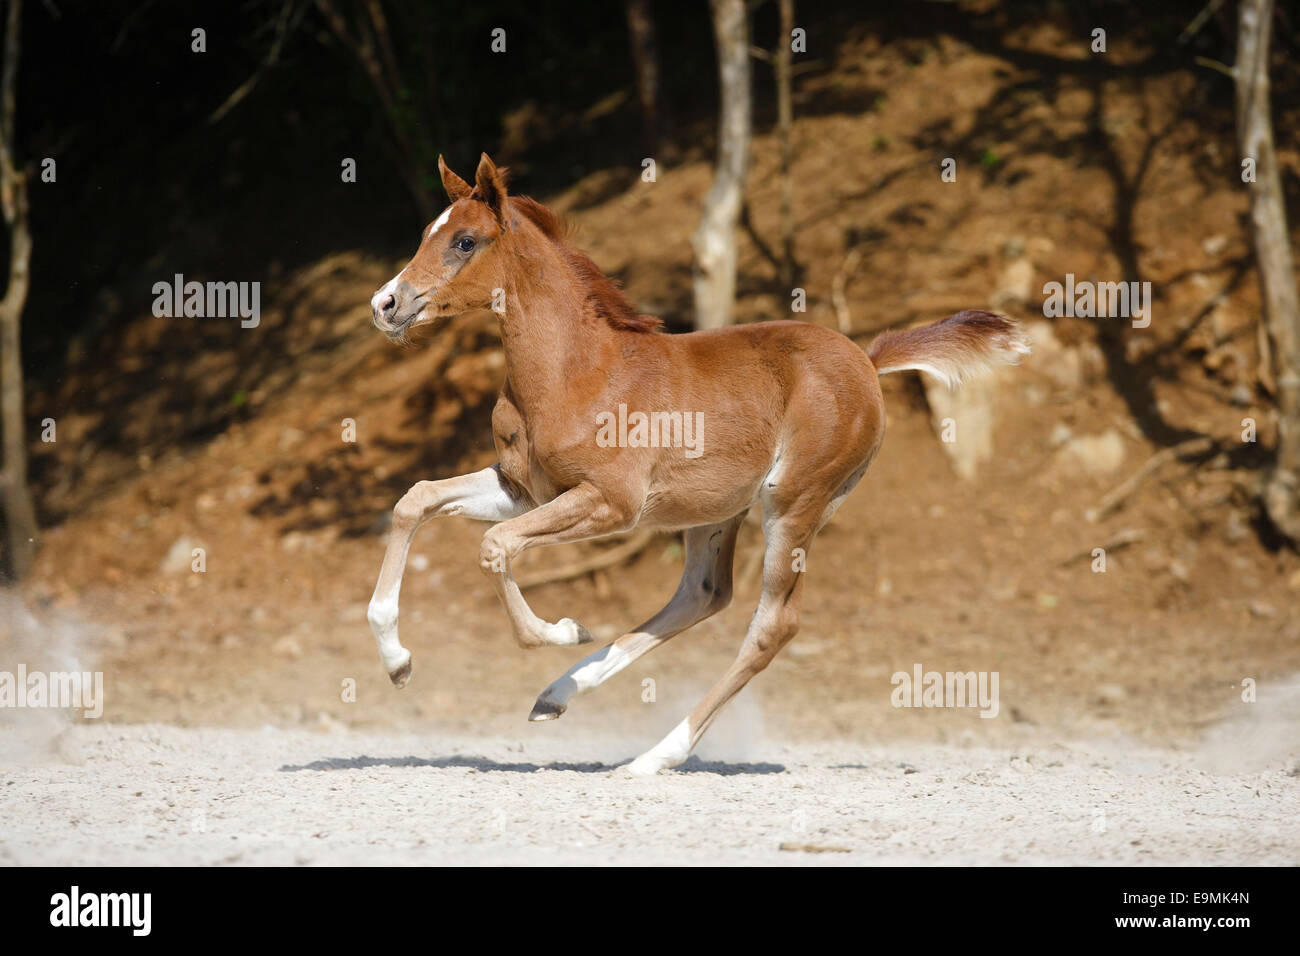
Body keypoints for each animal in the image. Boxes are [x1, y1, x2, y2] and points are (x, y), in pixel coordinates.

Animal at [366, 152, 1029, 774]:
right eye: (426, 231)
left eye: (464, 241)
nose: (384, 303)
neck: (576, 371)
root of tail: (867, 360)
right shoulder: (522, 488)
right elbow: (415, 500)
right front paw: (398, 663)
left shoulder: (611, 503)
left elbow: (496, 547)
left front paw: (564, 630)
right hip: (712, 512)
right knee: (703, 596)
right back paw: (560, 694)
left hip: (795, 501)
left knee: (772, 625)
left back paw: (654, 756)